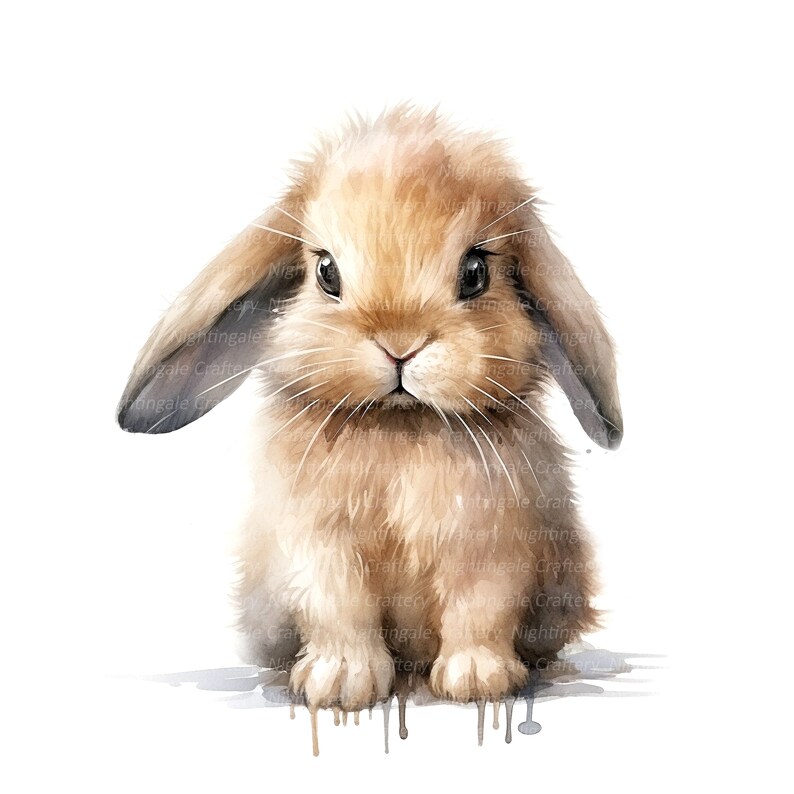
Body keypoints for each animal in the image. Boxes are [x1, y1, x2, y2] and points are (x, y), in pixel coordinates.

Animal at [117, 106, 622, 716]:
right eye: (326, 272)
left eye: (476, 272)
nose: (399, 344)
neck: (397, 426)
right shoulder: (317, 545)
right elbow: (339, 608)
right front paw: (339, 684)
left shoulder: (493, 544)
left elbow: (480, 608)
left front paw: (478, 680)